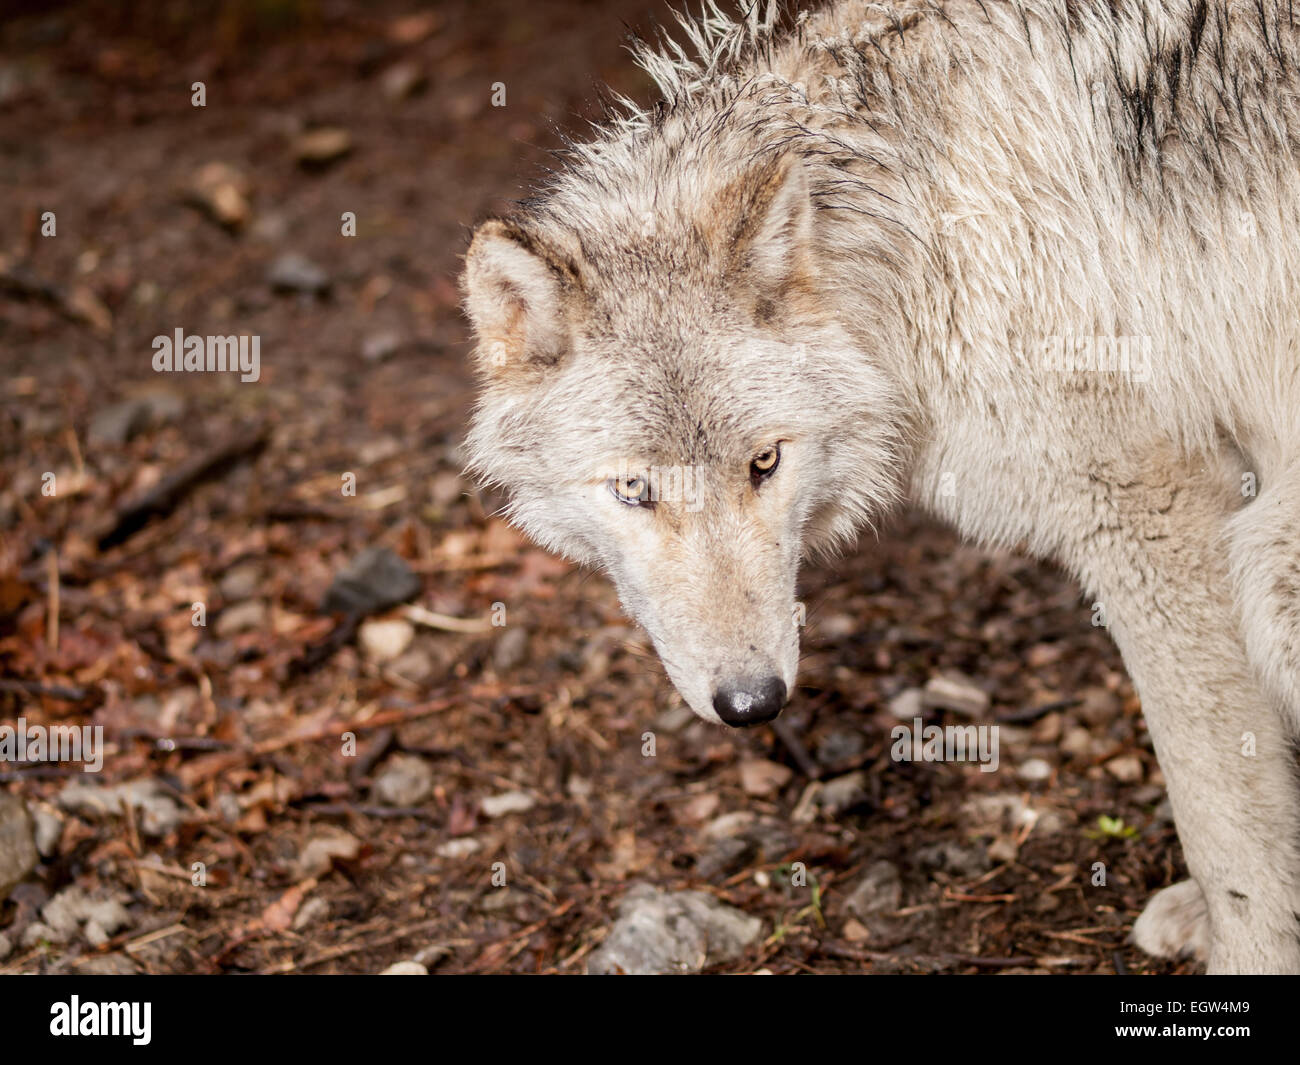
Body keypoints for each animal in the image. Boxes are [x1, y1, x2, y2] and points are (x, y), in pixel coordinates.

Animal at [461, 0, 1300, 973]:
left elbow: (1223, 808)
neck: (913, 223)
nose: (753, 702)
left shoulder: (1155, 513)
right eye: (635, 488)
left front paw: (1251, 949)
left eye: (764, 463)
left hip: (1271, 566)